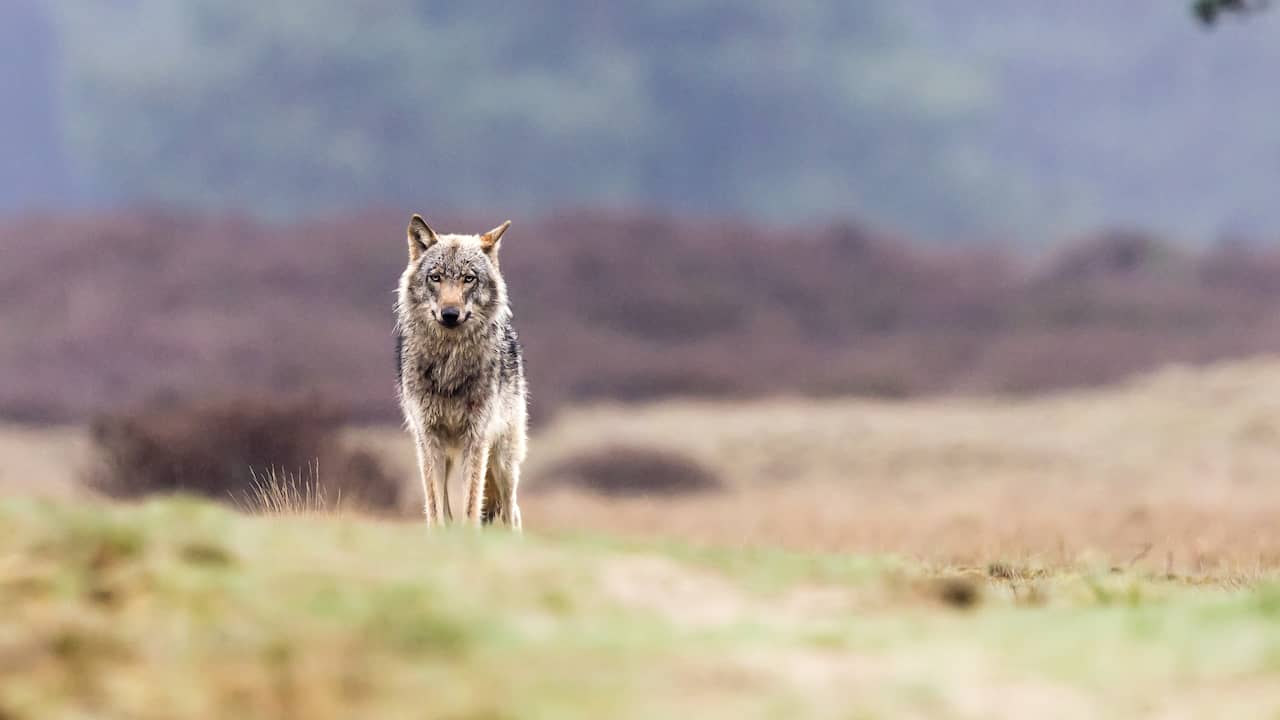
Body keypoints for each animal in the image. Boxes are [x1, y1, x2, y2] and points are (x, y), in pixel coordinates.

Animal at [395, 214, 527, 528]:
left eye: (469, 278)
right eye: (436, 277)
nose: (450, 314)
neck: (449, 365)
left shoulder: (475, 439)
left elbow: (470, 505)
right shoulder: (428, 439)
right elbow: (435, 509)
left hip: (503, 461)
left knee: (511, 512)